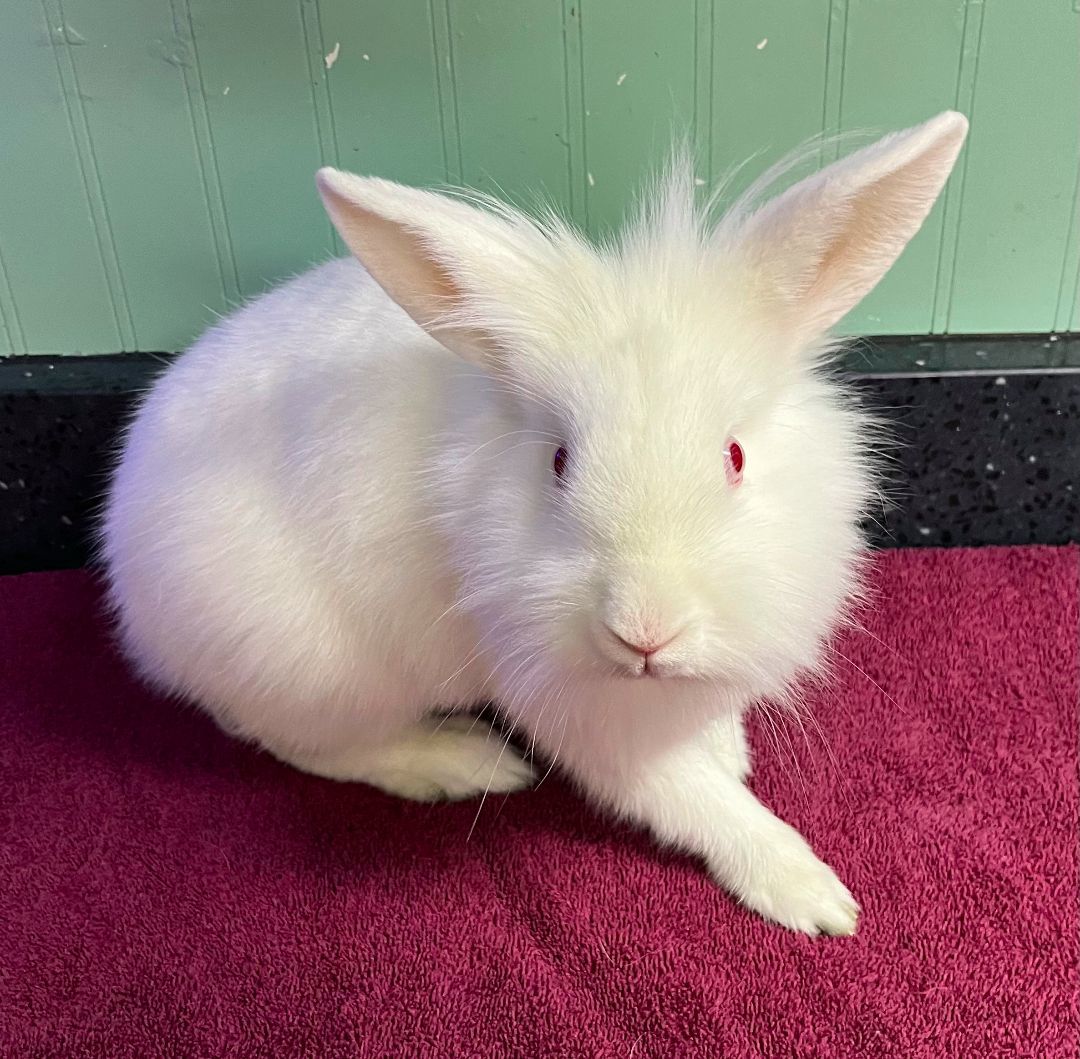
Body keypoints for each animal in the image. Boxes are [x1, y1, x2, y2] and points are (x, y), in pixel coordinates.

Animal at [102, 111, 968, 936]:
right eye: (557, 461)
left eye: (735, 455)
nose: (646, 631)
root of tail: (133, 598)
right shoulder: (577, 707)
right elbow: (684, 795)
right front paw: (811, 894)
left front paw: (729, 747)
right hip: (312, 666)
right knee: (303, 742)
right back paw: (464, 762)